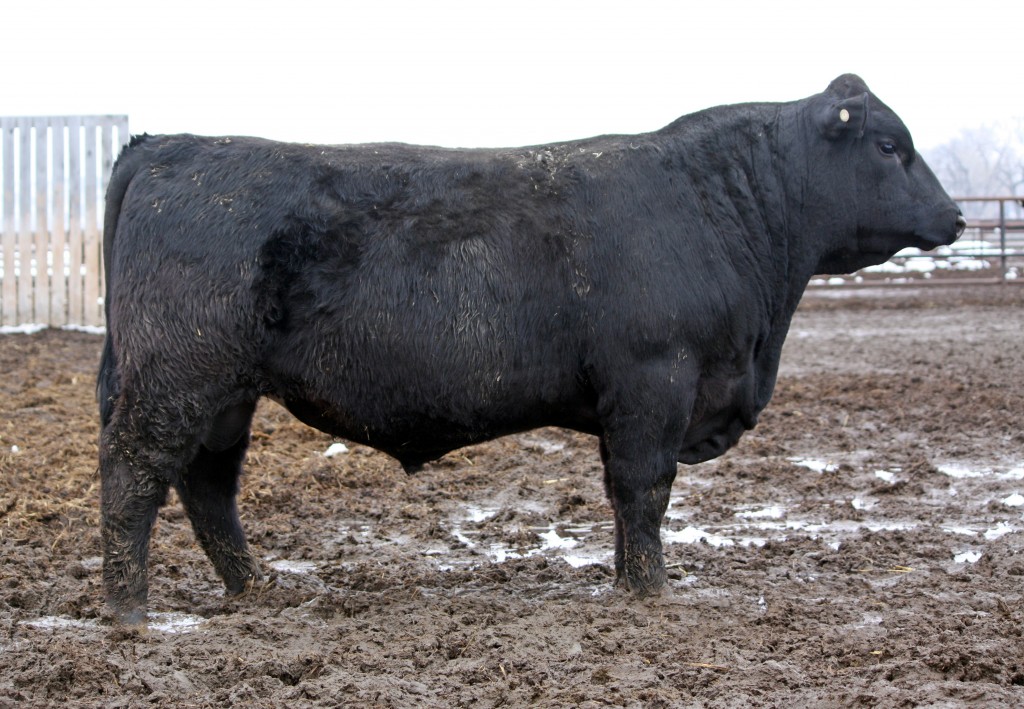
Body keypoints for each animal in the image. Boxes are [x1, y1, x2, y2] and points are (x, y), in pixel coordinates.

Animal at [98, 74, 965, 623]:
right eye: (890, 146)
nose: (956, 217)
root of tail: (167, 145)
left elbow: (626, 499)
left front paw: (627, 582)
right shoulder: (654, 382)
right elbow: (643, 491)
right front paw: (653, 593)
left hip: (224, 390)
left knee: (207, 483)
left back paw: (257, 587)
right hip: (176, 374)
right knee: (135, 474)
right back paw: (128, 608)